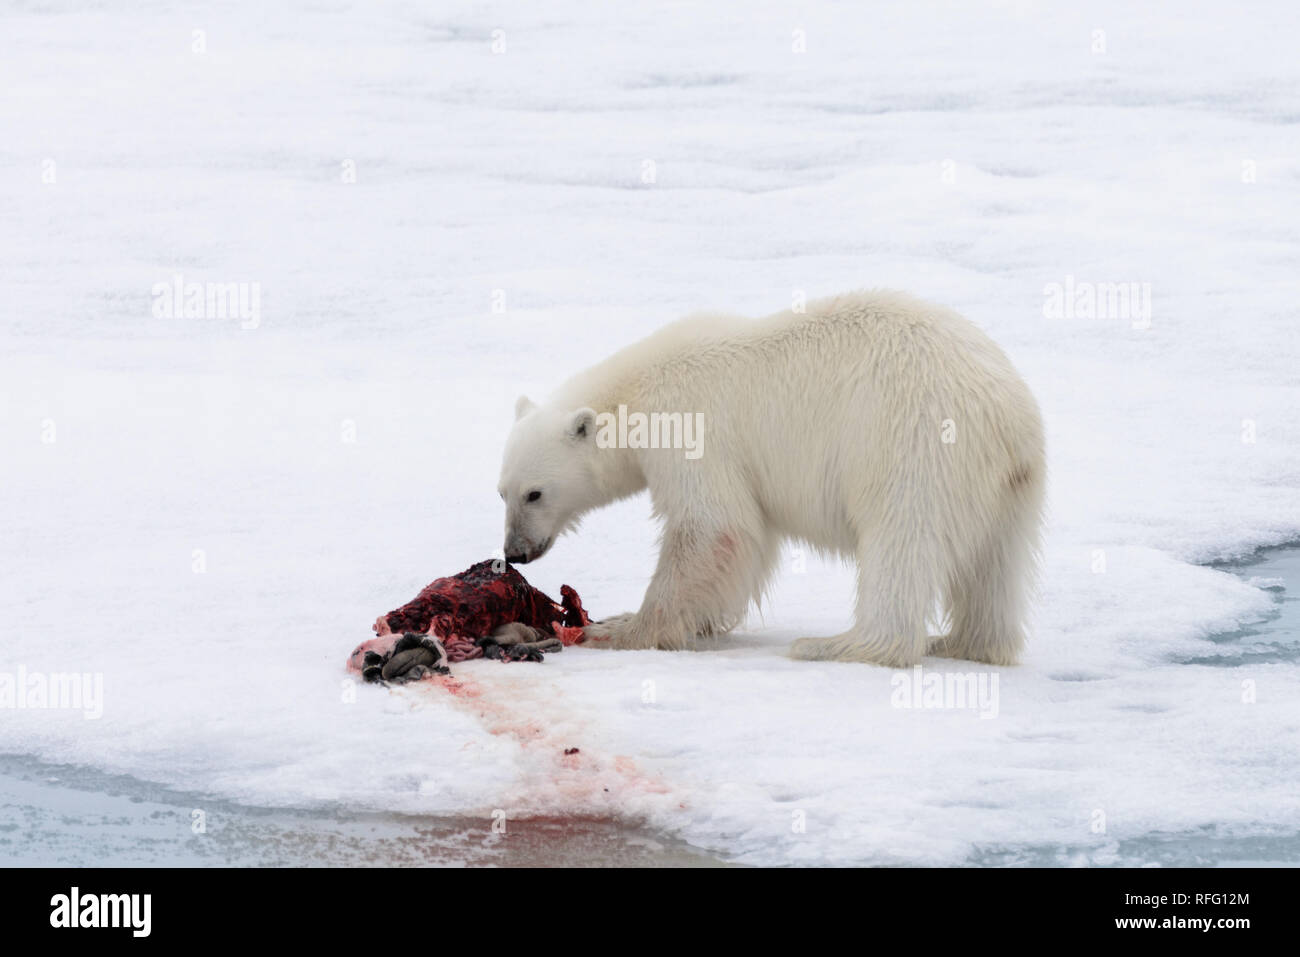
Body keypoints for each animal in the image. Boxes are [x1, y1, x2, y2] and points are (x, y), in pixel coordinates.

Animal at [497, 290, 1045, 667]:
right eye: (501, 492)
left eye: (535, 493)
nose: (514, 553)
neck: (634, 393)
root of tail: (1008, 414)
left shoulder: (692, 432)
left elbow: (714, 527)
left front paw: (621, 627)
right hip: (1010, 485)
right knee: (996, 565)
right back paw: (961, 642)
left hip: (911, 442)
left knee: (901, 539)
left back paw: (835, 645)